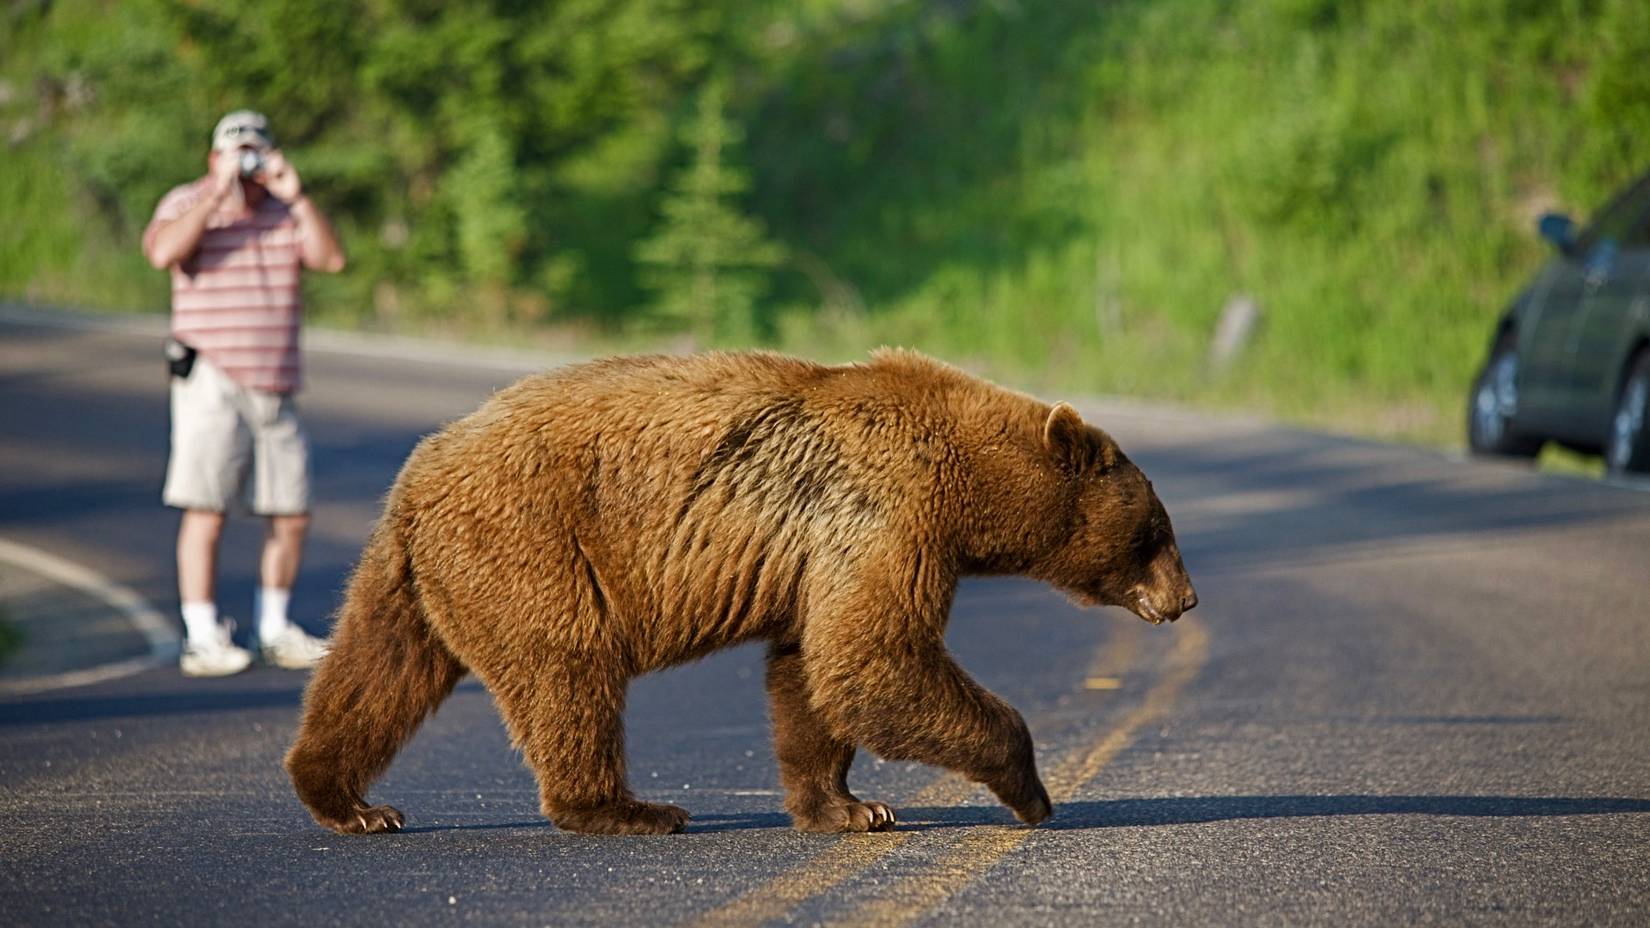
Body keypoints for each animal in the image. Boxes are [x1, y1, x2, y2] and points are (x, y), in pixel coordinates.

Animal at [285, 349, 1197, 836]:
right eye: (1156, 531)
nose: (1186, 599)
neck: (971, 487)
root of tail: (416, 476)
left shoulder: (820, 555)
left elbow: (813, 672)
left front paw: (849, 806)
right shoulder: (886, 512)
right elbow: (875, 657)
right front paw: (1031, 790)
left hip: (419, 574)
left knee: (378, 672)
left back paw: (348, 799)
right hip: (532, 546)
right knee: (568, 671)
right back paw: (627, 807)